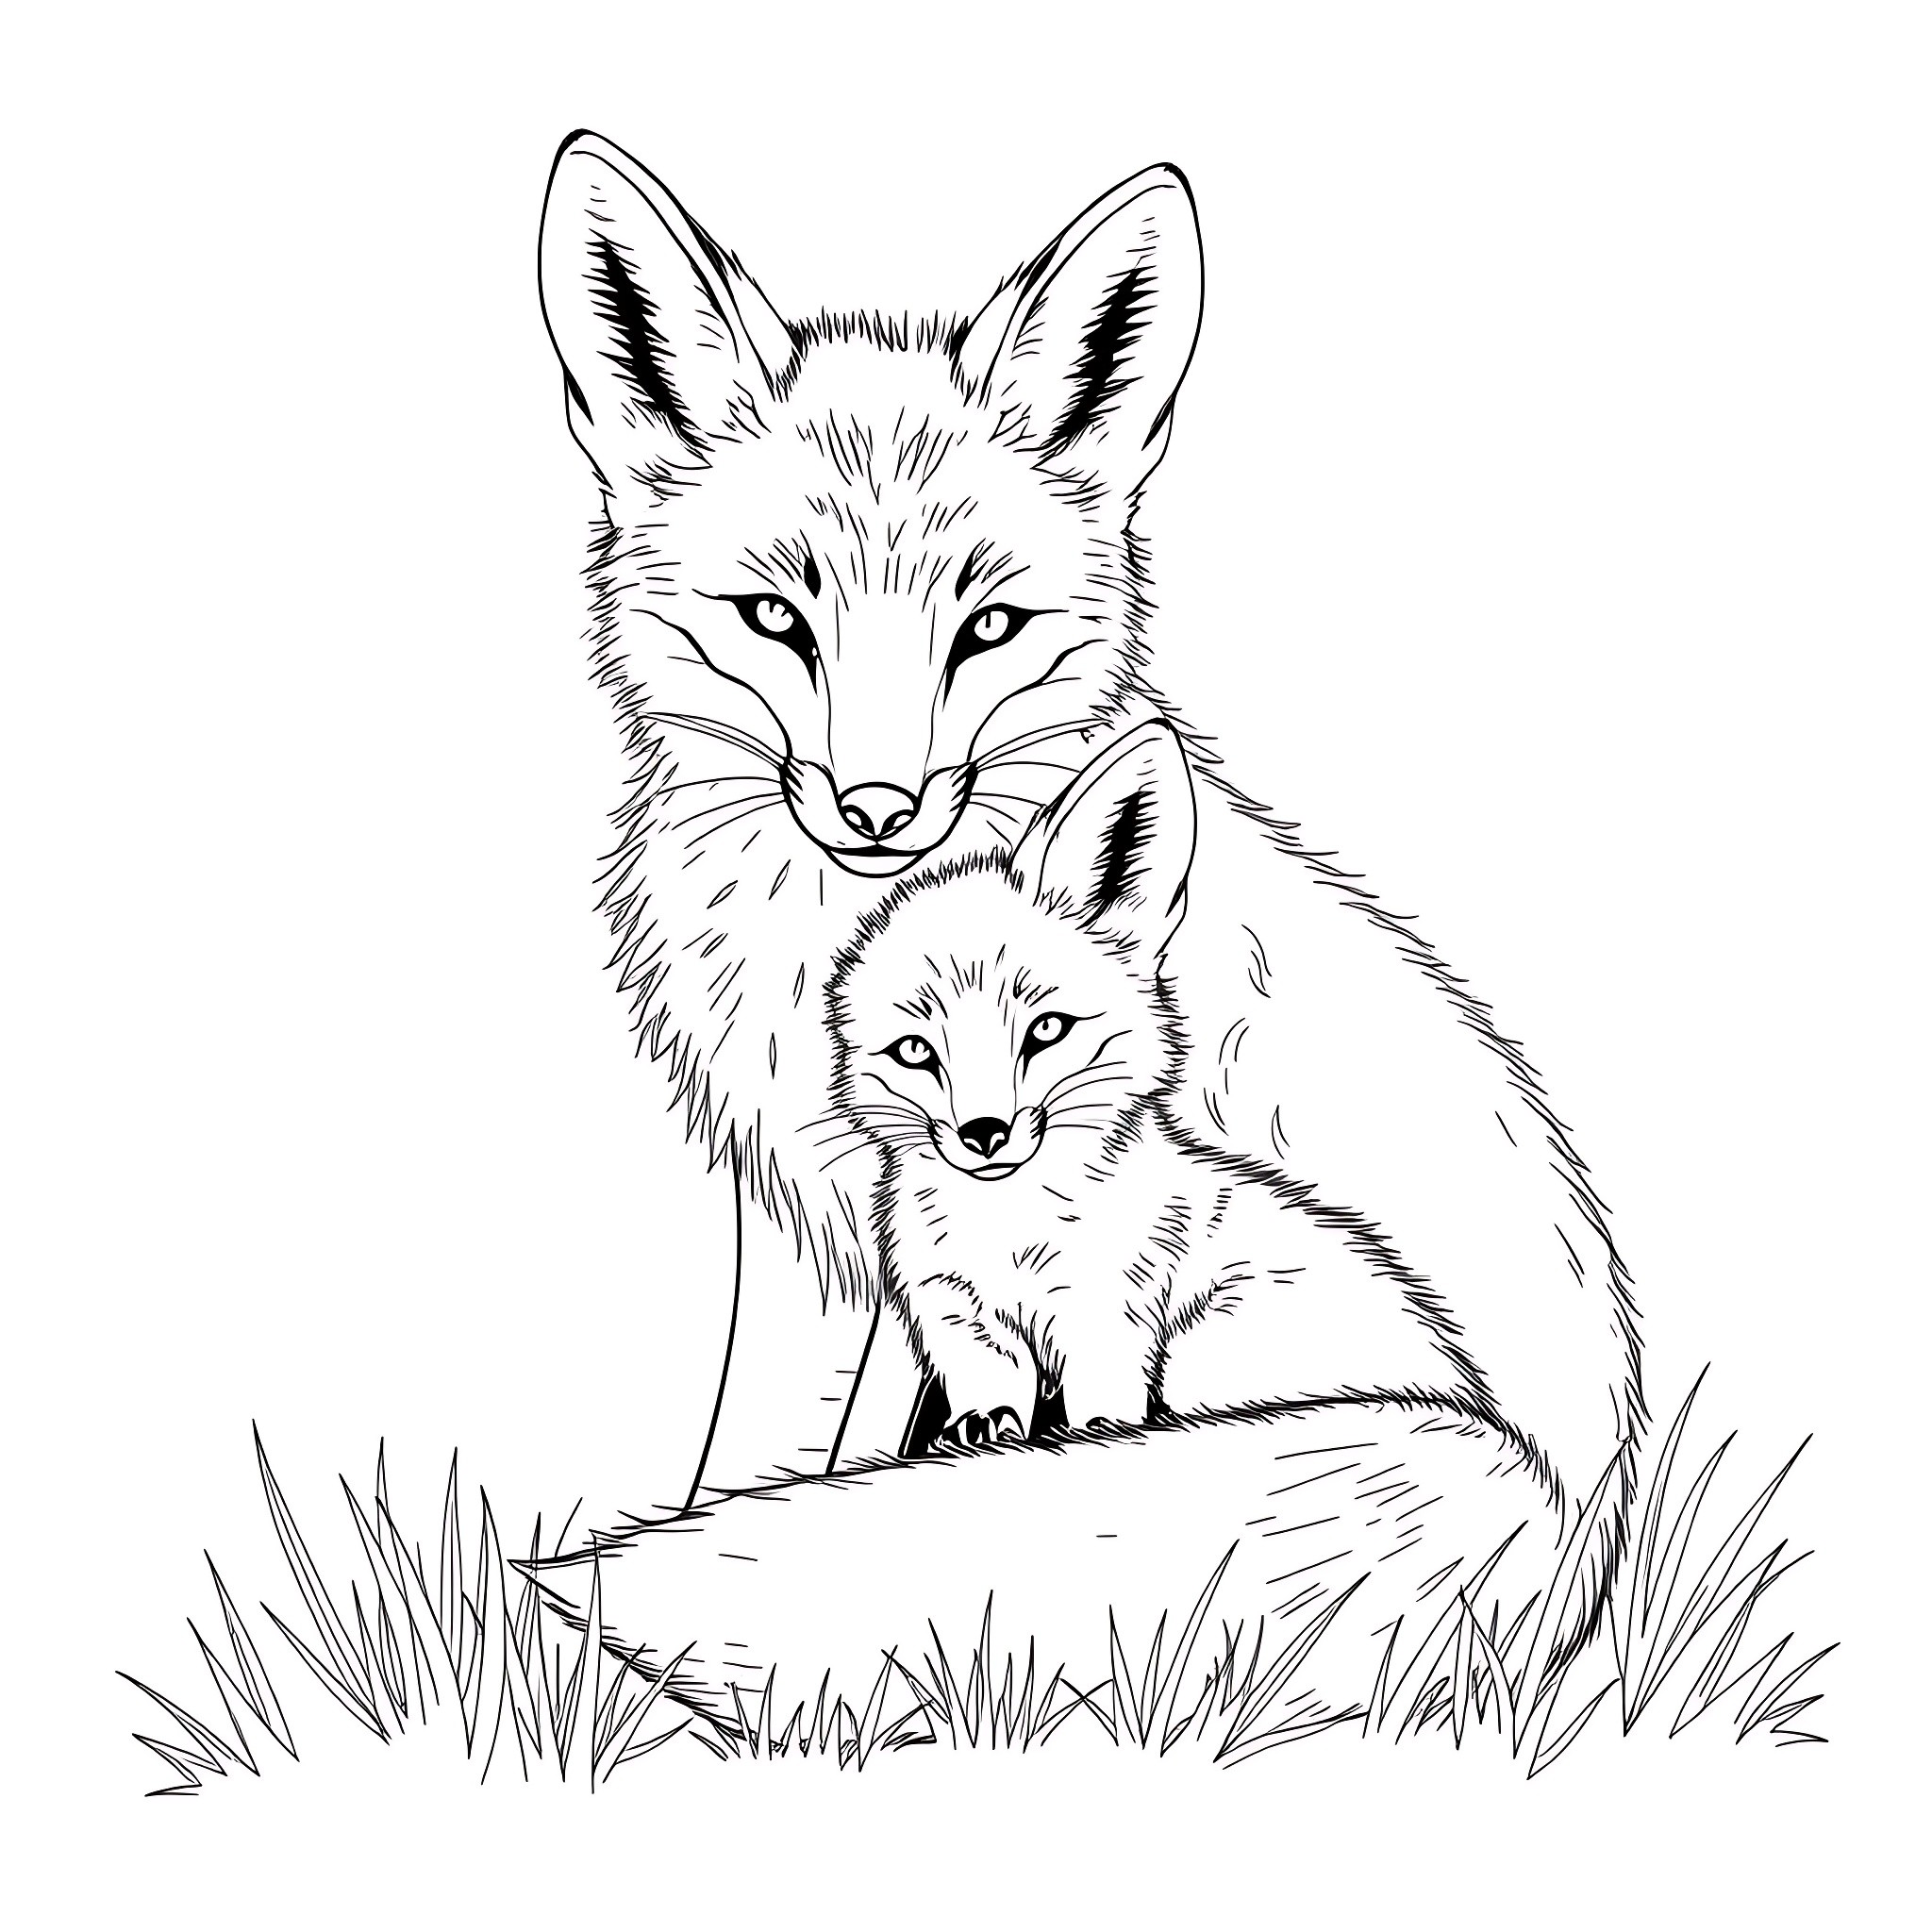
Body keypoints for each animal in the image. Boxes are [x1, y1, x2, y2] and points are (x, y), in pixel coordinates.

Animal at [830, 721, 1487, 1444]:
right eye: (916, 1052)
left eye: (1047, 1029)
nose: (985, 1134)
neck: (1011, 1237)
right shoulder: (957, 1313)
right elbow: (990, 1393)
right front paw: (984, 1425)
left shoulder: (1109, 1314)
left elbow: (1101, 1410)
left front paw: (1088, 1434)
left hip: (1209, 1358)